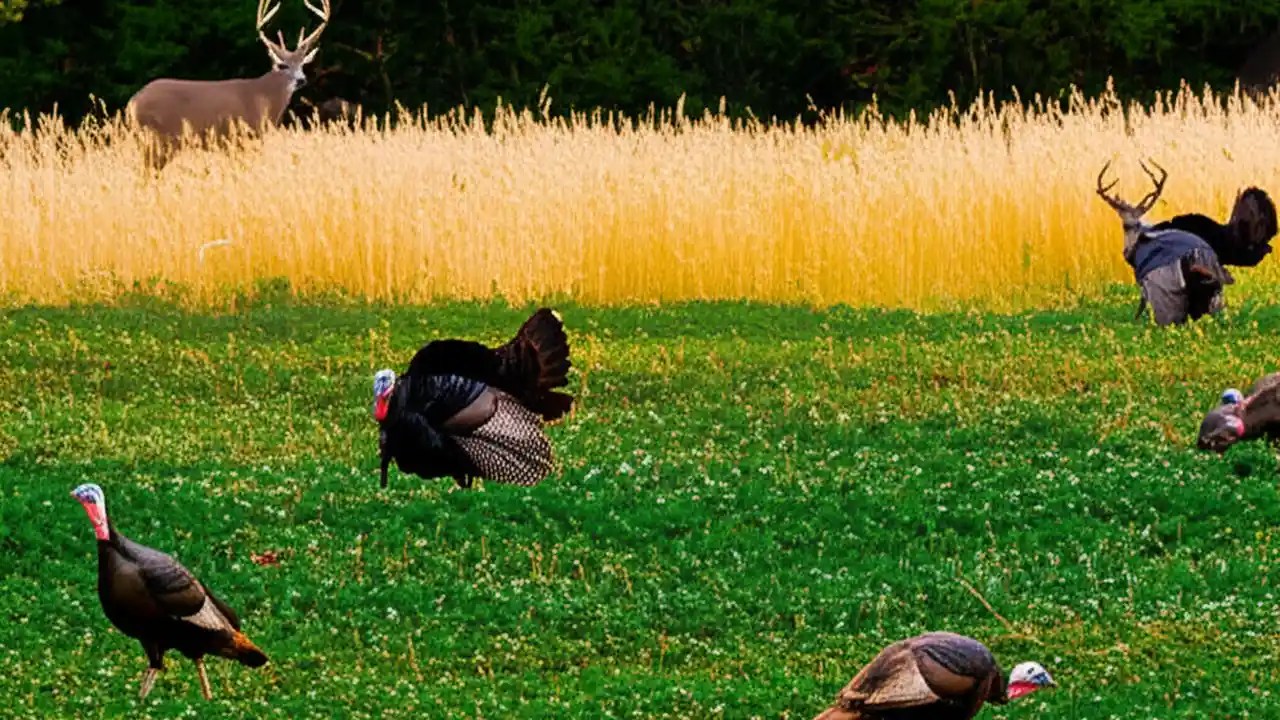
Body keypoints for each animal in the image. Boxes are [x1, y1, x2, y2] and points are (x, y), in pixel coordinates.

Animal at [126, 0, 332, 169]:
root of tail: (132, 103)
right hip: (160, 138)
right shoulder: (241, 137)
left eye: (303, 64)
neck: (262, 98)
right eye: (283, 65)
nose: (301, 79)